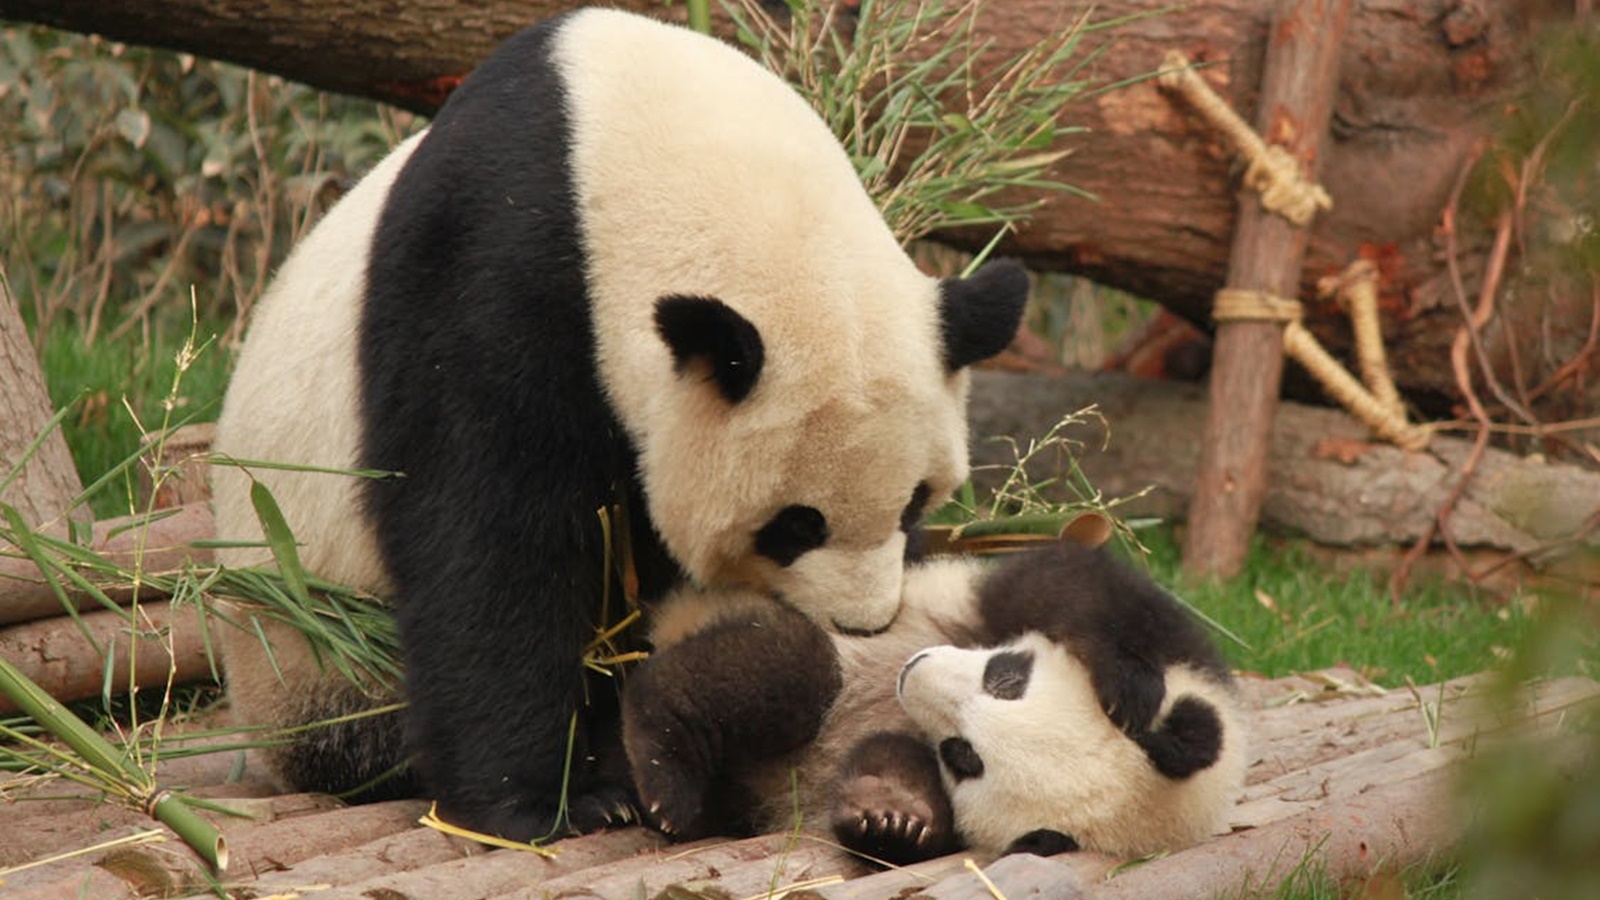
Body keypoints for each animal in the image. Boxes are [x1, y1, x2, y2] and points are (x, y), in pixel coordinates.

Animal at [207, 7, 1029, 842]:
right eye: (795, 524)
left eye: (915, 503)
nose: (862, 624)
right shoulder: (492, 269)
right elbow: (489, 542)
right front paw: (540, 803)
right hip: (311, 644)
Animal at [622, 541, 1248, 863]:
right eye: (1007, 677)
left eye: (963, 755)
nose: (913, 672)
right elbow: (1071, 584)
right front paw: (1126, 682)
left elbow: (897, 769)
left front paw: (892, 816)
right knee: (788, 671)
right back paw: (664, 774)